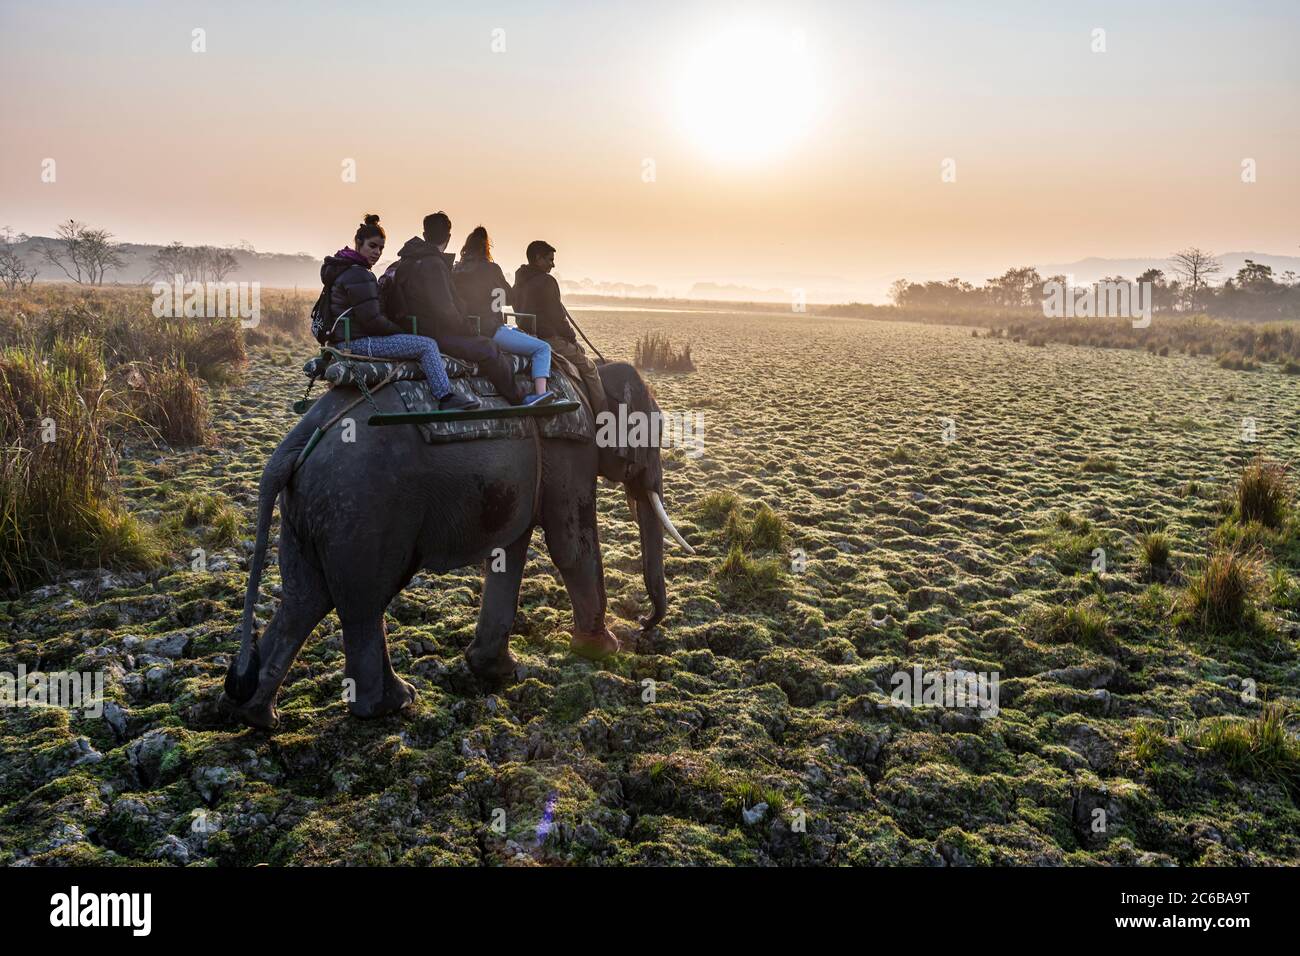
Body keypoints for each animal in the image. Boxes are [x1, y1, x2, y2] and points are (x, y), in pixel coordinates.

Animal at [220, 360, 694, 730]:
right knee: (363, 600)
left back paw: (253, 715)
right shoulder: (568, 449)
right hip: (363, 506)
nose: (645, 625)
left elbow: (510, 552)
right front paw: (603, 650)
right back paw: (393, 705)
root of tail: (295, 440)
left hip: (309, 509)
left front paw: (497, 670)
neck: (589, 373)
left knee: (305, 597)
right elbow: (569, 544)